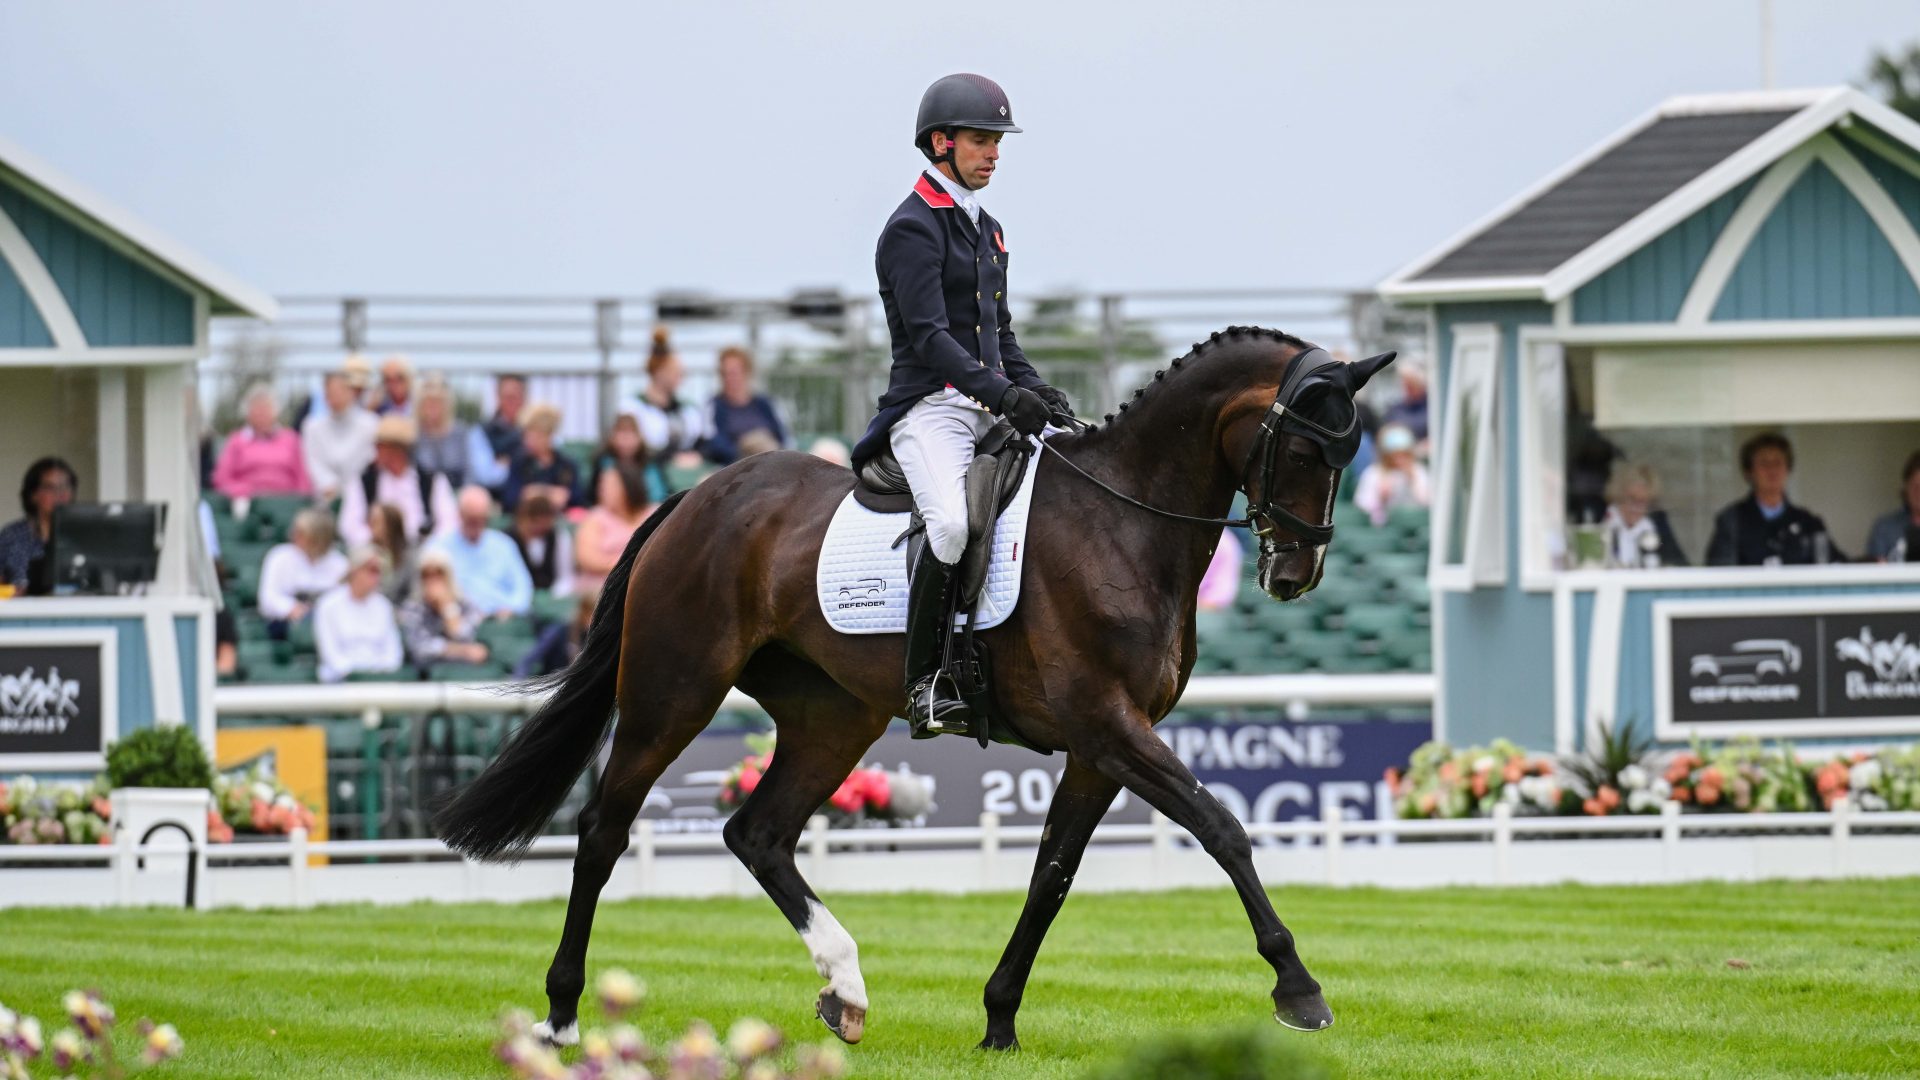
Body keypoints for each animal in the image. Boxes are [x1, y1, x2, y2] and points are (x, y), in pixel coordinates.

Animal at [434, 327, 1396, 1050]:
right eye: (1303, 447)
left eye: (1348, 453)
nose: (1294, 574)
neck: (1121, 520)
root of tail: (698, 496)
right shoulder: (1110, 726)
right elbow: (1222, 828)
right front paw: (1299, 989)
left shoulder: (1099, 748)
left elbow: (1052, 875)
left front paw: (999, 1020)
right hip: (672, 695)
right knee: (604, 831)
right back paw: (562, 1015)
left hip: (833, 717)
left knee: (758, 833)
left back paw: (846, 989)